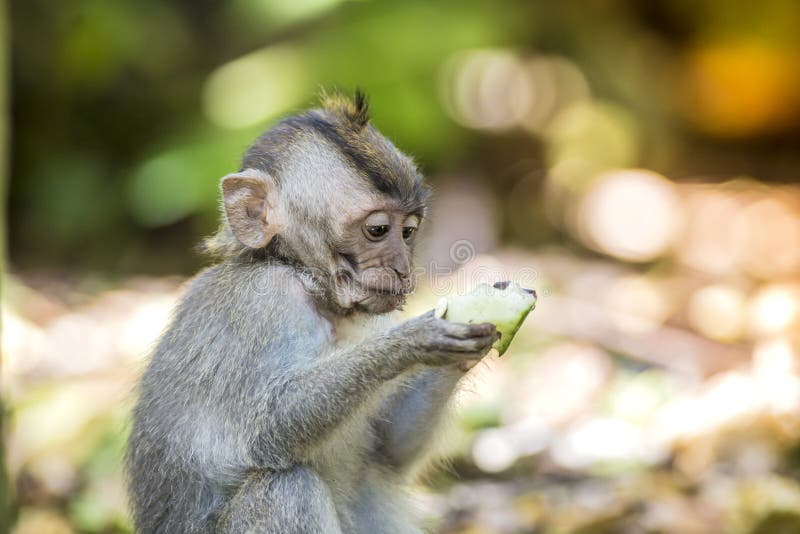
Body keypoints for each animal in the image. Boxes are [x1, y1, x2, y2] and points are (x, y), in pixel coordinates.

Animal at [125, 91, 498, 534]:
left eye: (408, 232)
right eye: (377, 230)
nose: (402, 269)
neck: (310, 284)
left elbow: (391, 450)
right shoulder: (263, 301)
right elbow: (268, 426)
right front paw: (413, 341)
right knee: (286, 487)